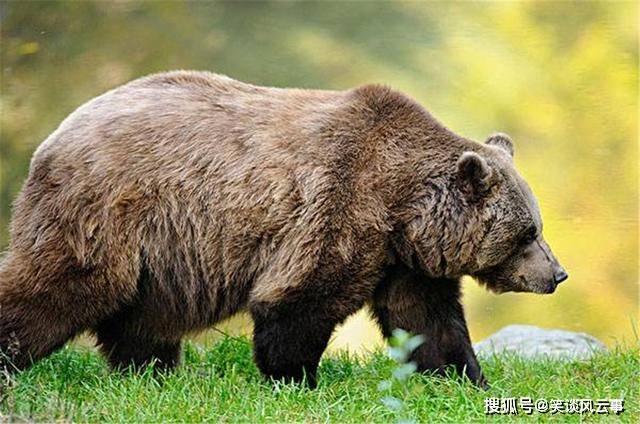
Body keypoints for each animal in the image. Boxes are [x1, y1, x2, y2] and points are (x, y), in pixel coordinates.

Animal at [0, 71, 567, 388]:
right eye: (526, 233)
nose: (557, 274)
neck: (402, 208)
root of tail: (59, 131)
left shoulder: (403, 259)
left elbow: (427, 318)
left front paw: (464, 378)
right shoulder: (340, 205)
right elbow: (298, 299)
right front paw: (297, 379)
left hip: (158, 255)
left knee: (143, 319)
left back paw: (151, 372)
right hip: (108, 212)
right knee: (56, 286)